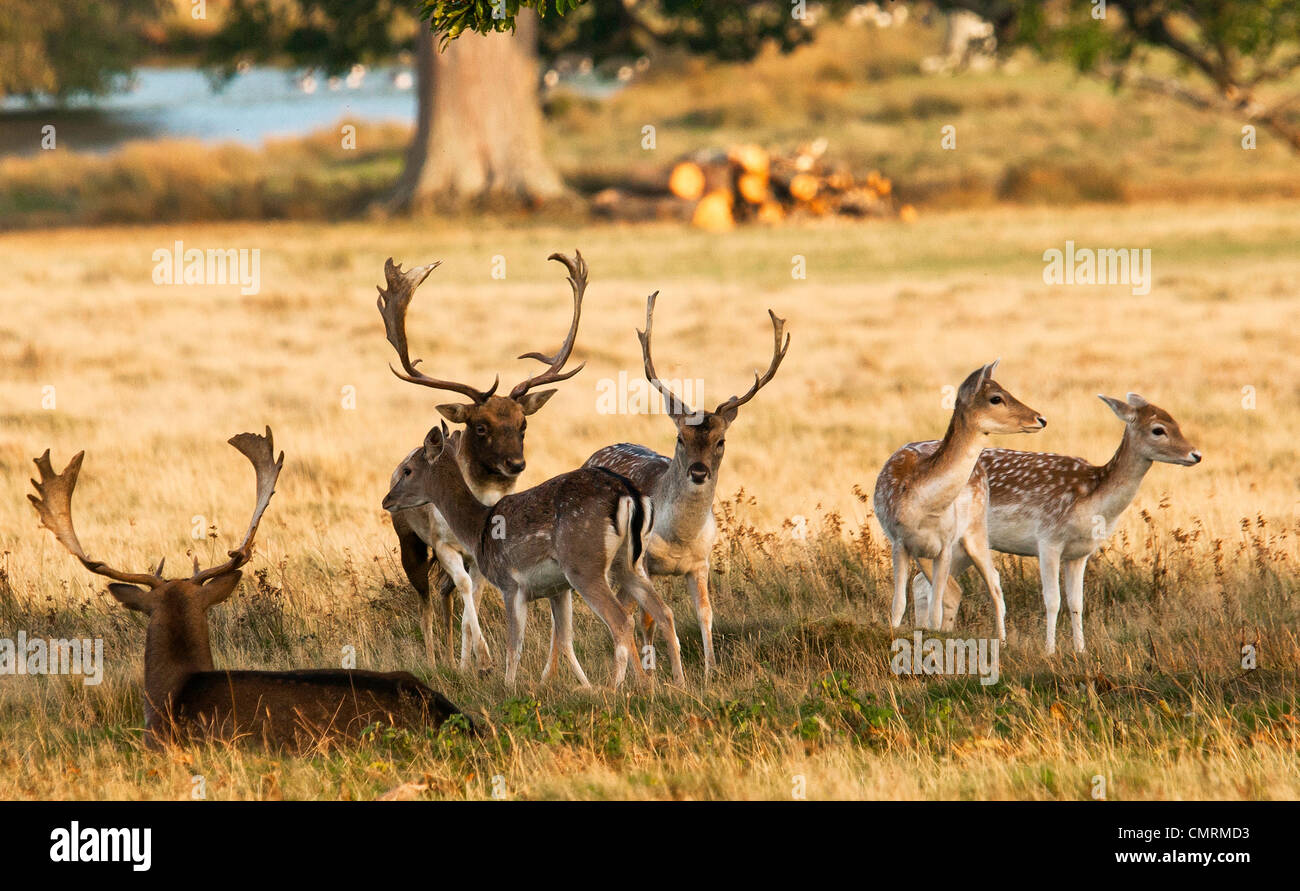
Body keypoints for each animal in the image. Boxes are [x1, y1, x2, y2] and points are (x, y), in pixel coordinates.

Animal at [378, 252, 586, 674]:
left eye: (523, 424)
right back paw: (433, 657)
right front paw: (485, 657)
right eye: (480, 426)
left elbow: (471, 596)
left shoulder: (481, 554)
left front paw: (472, 659)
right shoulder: (443, 544)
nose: (516, 464)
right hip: (408, 541)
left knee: (445, 594)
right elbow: (463, 590)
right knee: (425, 600)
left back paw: (454, 656)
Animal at [383, 422, 686, 688]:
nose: (386, 500)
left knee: (622, 620)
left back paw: (615, 688)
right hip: (631, 563)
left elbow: (514, 644)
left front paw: (507, 685)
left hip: (584, 565)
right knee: (664, 612)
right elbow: (563, 638)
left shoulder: (510, 583)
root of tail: (631, 495)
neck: (478, 529)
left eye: (408, 470)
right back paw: (674, 685)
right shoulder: (557, 588)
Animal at [584, 291, 790, 681]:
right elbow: (654, 618)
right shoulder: (645, 563)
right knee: (624, 612)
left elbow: (705, 616)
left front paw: (710, 675)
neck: (679, 539)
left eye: (721, 441)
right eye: (680, 437)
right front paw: (675, 679)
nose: (698, 471)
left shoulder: (701, 564)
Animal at [873, 361, 1047, 639]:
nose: (1040, 418)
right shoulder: (899, 541)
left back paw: (1002, 640)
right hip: (931, 551)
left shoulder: (945, 544)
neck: (925, 506)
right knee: (954, 592)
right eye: (995, 397)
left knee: (994, 582)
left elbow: (935, 608)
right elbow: (899, 604)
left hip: (976, 531)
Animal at [910, 393, 1201, 654]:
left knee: (923, 582)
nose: (1196, 454)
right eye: (1158, 429)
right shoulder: (1048, 540)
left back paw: (929, 633)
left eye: (1176, 421)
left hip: (962, 548)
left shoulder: (1080, 553)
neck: (1091, 500)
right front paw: (1049, 650)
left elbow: (1076, 603)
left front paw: (1081, 650)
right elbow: (1052, 600)